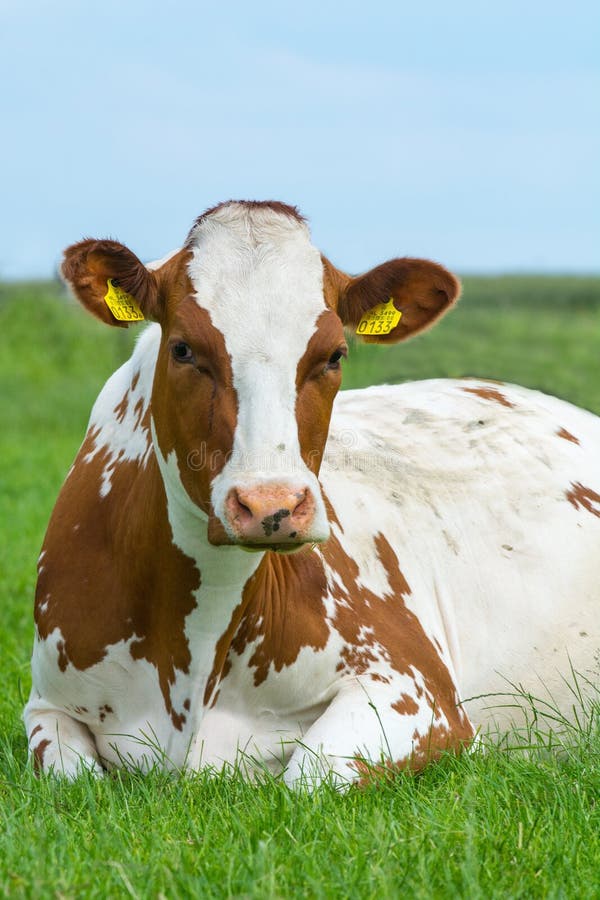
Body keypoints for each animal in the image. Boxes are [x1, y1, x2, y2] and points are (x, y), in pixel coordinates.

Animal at [25, 200, 600, 787]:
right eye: (183, 349)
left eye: (334, 355)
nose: (270, 506)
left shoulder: (420, 694)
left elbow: (307, 774)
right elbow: (73, 777)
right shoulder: (46, 706)